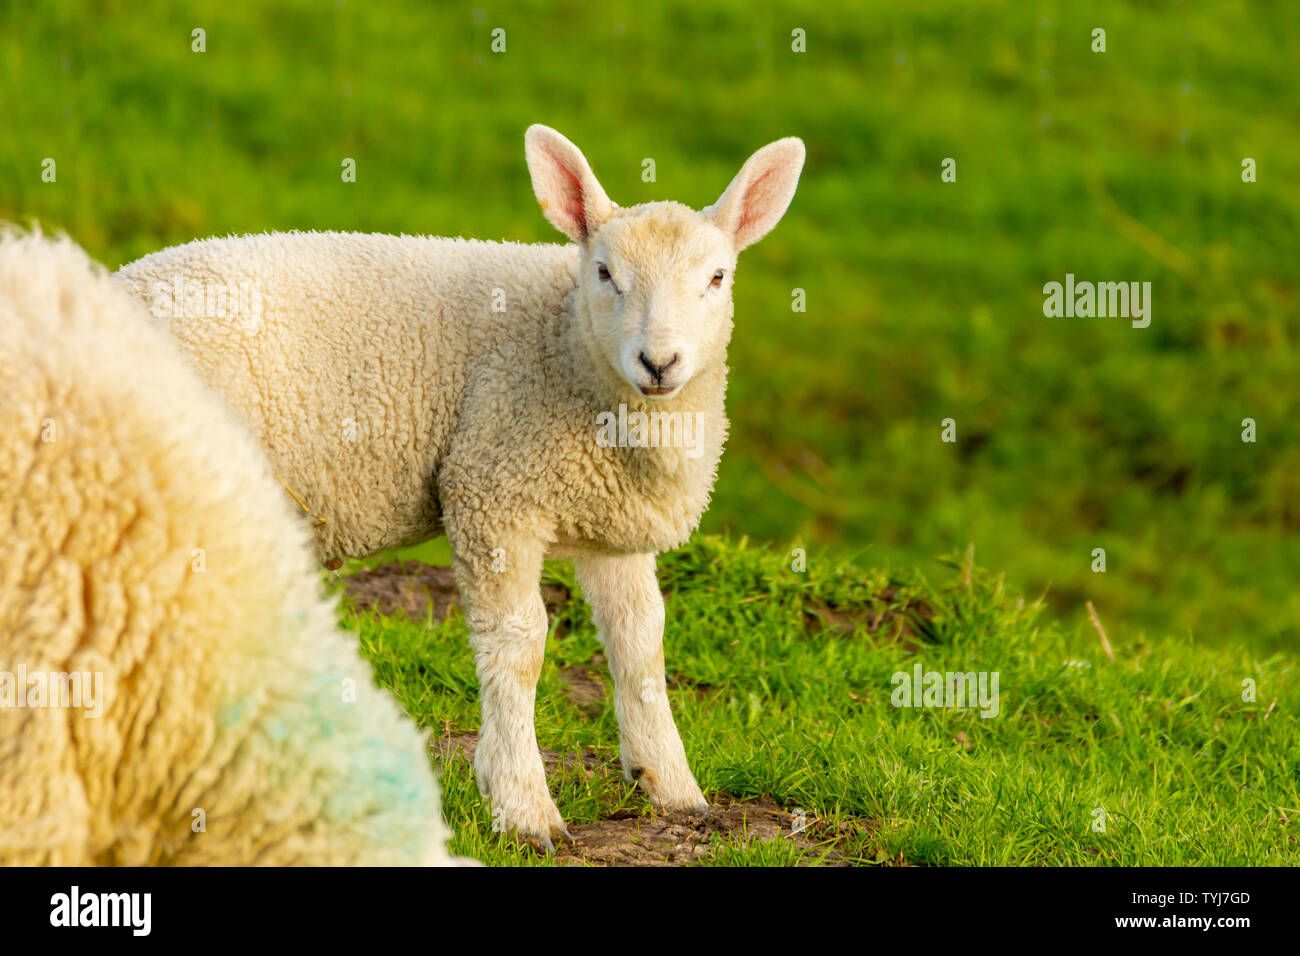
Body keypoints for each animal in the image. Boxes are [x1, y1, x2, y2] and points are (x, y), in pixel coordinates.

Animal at [114, 125, 806, 849]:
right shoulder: (492, 488)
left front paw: (671, 785)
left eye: (717, 278)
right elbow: (520, 642)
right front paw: (521, 804)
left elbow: (640, 641)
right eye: (605, 273)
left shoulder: (611, 519)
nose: (659, 362)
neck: (565, 347)